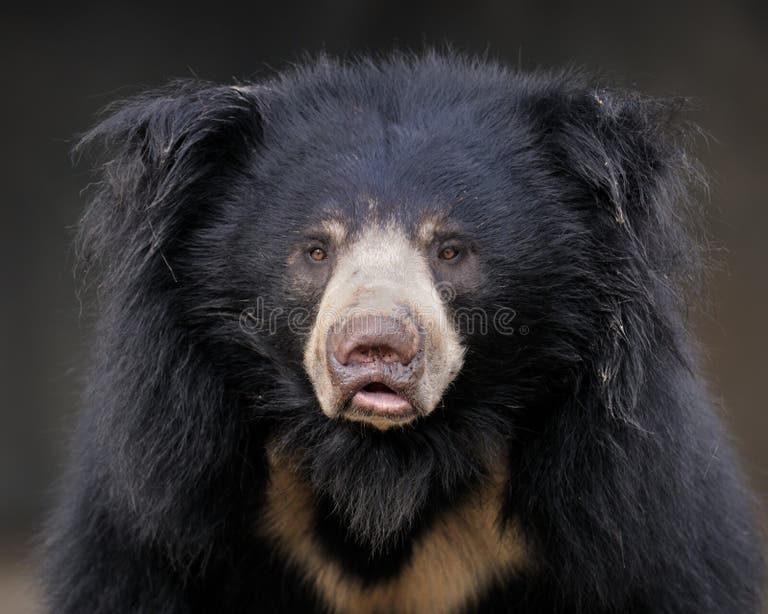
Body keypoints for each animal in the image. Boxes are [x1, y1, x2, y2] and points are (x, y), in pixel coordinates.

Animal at [43, 52, 764, 613]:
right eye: (315, 251)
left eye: (451, 250)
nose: (375, 346)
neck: (386, 468)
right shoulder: (165, 514)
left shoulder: (628, 511)